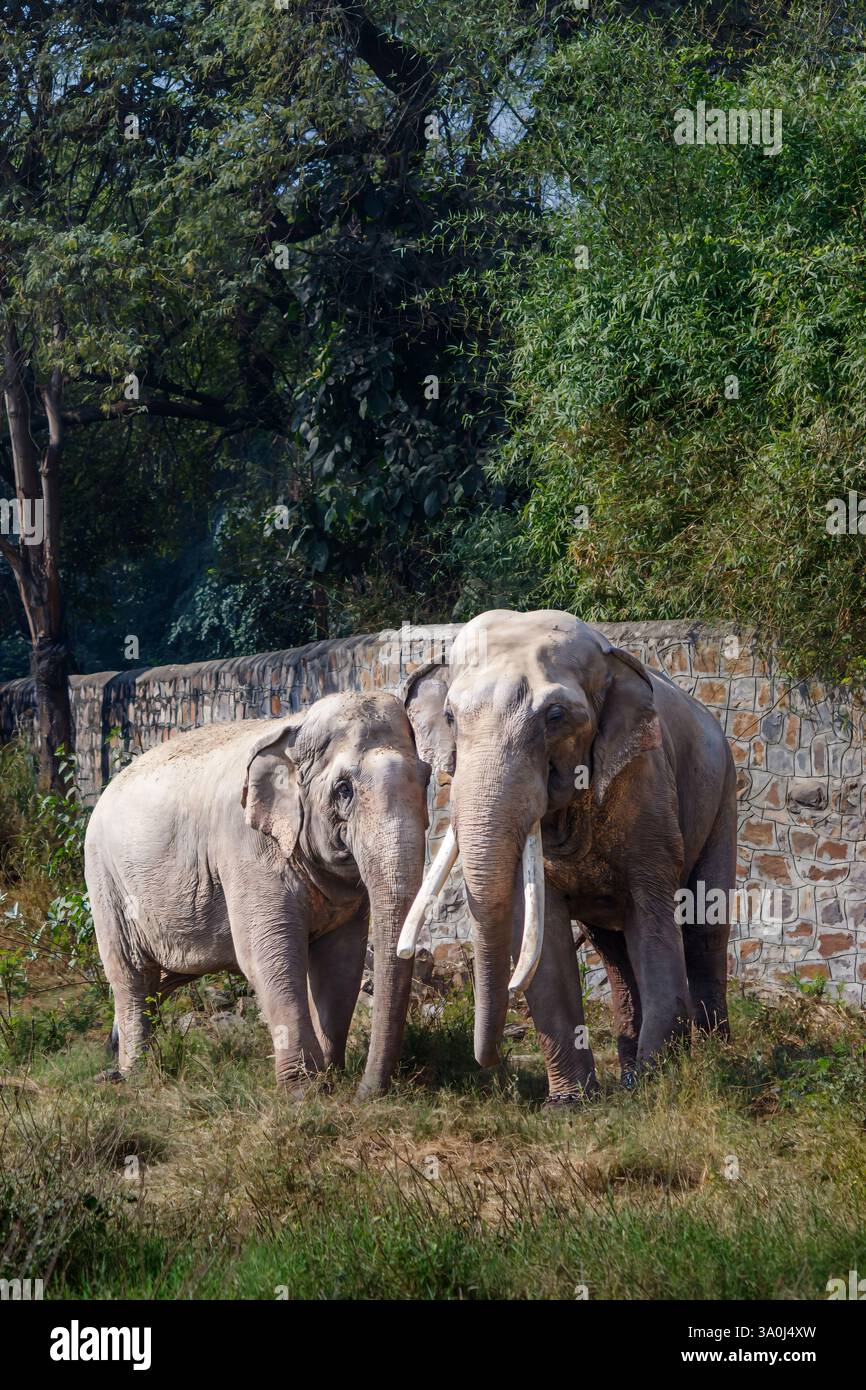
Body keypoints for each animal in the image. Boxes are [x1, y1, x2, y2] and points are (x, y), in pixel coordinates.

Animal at [84, 691, 430, 1097]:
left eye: (427, 779)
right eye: (344, 789)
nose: (366, 1094)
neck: (297, 727)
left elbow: (342, 958)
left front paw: (330, 1076)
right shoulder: (246, 849)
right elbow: (269, 955)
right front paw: (304, 1091)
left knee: (159, 979)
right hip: (105, 880)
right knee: (131, 974)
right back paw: (137, 1074)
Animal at [398, 609, 737, 1101]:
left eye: (555, 716)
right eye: (448, 716)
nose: (490, 1060)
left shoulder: (647, 782)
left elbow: (655, 918)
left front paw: (656, 1090)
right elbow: (546, 934)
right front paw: (570, 1104)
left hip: (724, 794)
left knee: (705, 926)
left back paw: (714, 1058)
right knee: (613, 951)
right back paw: (630, 1074)